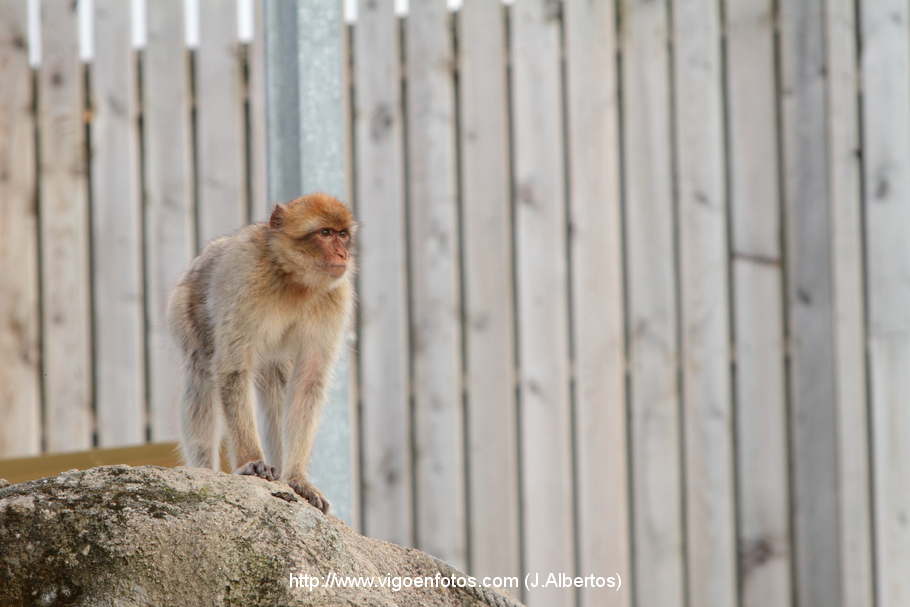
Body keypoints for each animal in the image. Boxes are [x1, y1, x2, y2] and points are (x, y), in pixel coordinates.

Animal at [167, 192, 355, 513]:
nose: (343, 255)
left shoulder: (336, 298)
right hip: (185, 306)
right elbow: (232, 369)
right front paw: (251, 461)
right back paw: (204, 470)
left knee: (276, 384)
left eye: (343, 235)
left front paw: (298, 478)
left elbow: (308, 382)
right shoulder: (245, 278)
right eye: (325, 233)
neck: (293, 278)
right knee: (200, 374)